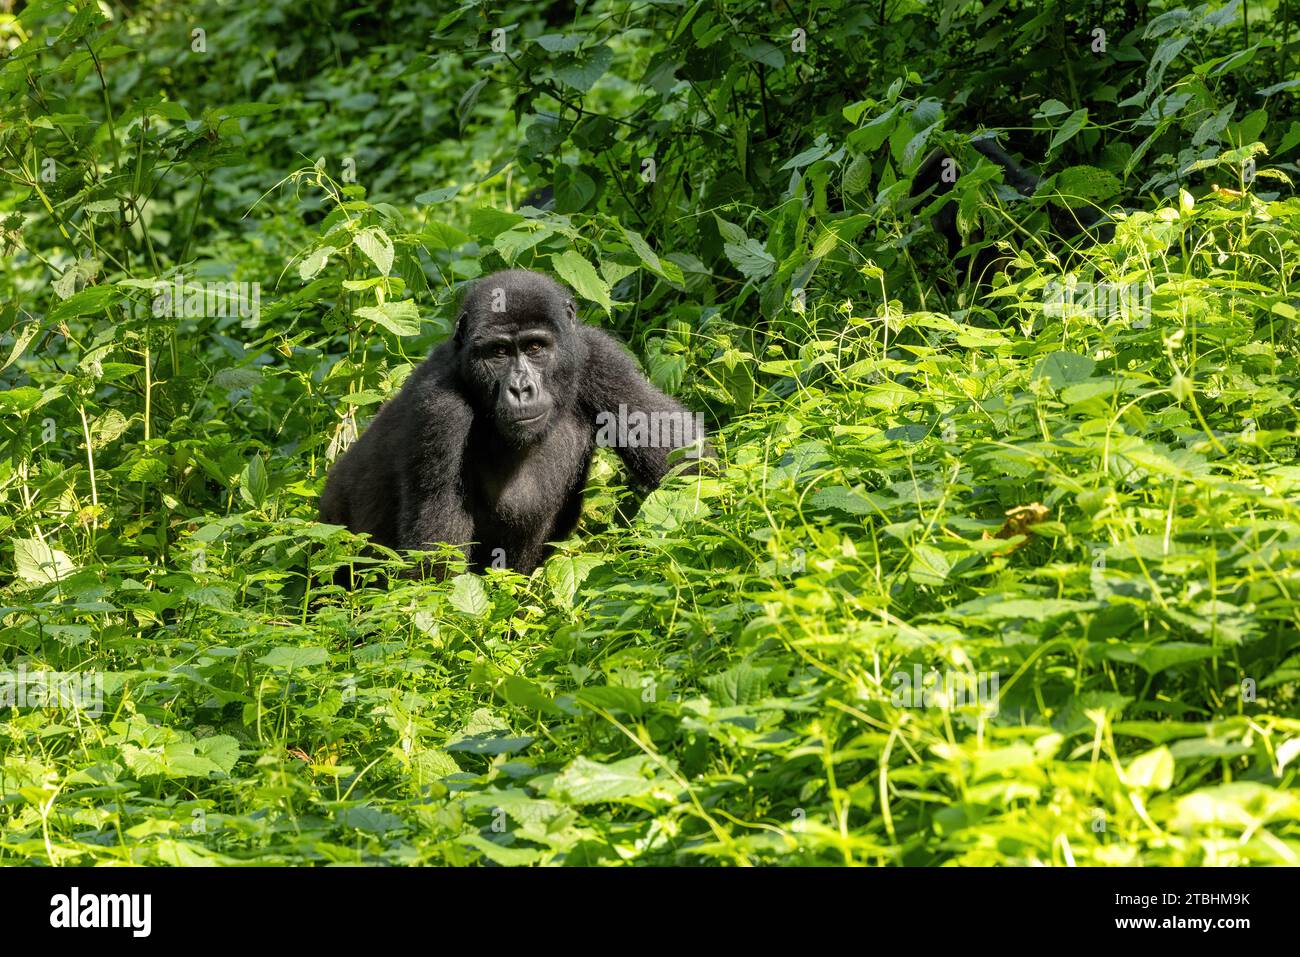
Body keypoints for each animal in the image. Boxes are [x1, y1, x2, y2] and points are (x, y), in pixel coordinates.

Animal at [319, 268, 709, 583]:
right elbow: (436, 566)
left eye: (535, 347)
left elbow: (684, 469)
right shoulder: (440, 408)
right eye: (499, 353)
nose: (521, 389)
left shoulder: (599, 357)